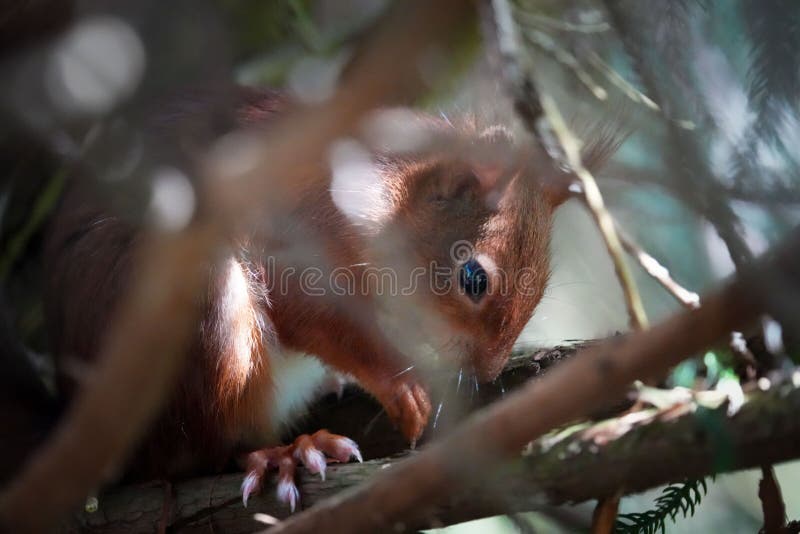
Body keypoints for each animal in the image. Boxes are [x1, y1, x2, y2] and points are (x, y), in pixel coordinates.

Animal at [43, 85, 602, 510]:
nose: (487, 373)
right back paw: (279, 455)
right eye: (473, 279)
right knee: (196, 452)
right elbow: (309, 313)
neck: (384, 197)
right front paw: (404, 387)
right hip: (200, 320)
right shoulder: (301, 232)